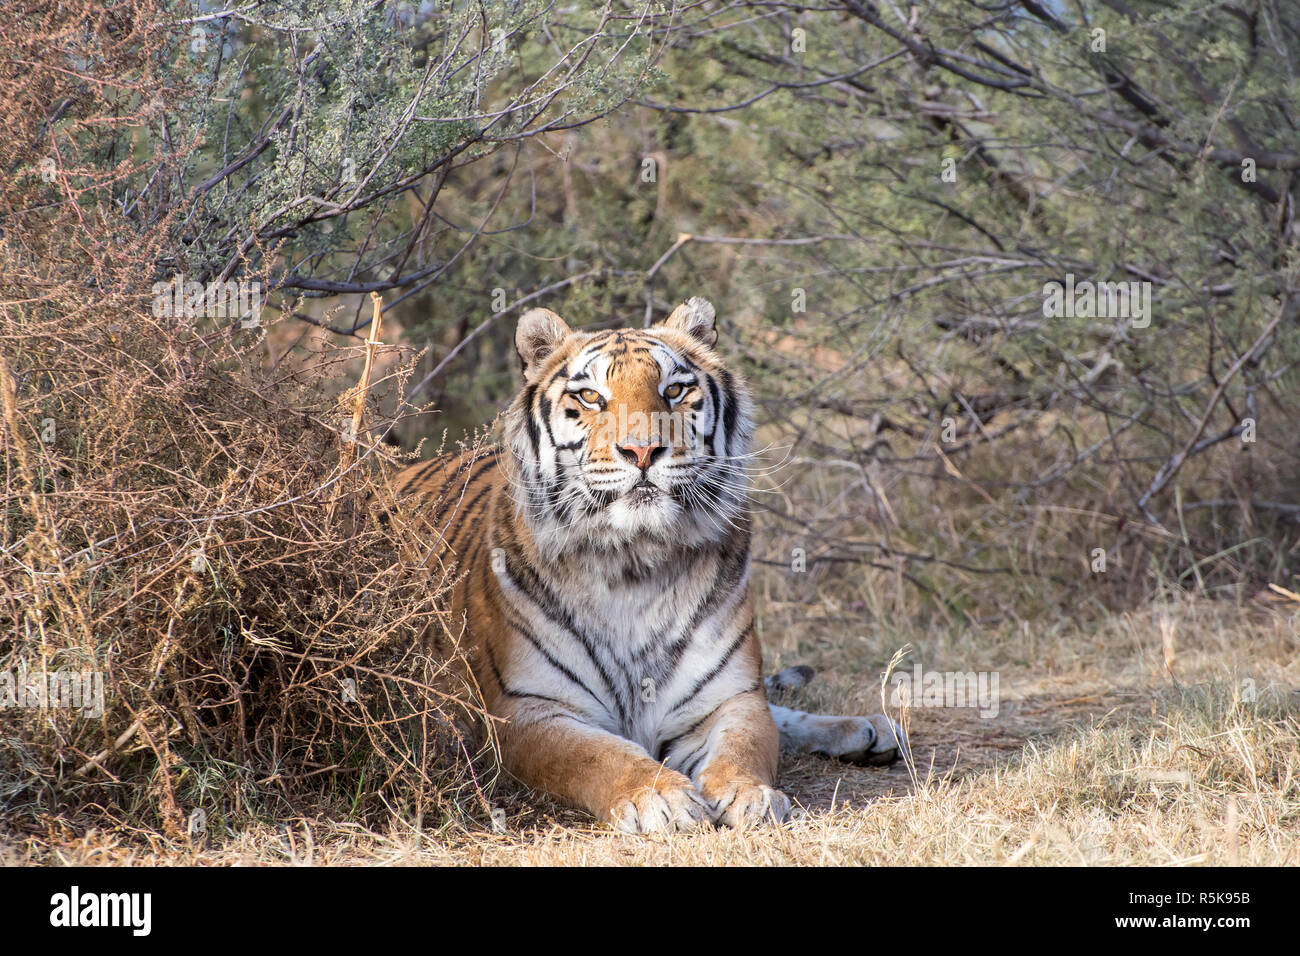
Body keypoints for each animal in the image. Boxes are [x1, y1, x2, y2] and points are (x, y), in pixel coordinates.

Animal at [390, 297, 906, 833]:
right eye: (590, 397)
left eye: (674, 390)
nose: (642, 450)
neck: (633, 563)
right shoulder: (529, 711)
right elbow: (597, 757)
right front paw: (660, 798)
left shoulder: (730, 697)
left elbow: (747, 745)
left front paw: (751, 795)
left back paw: (868, 730)